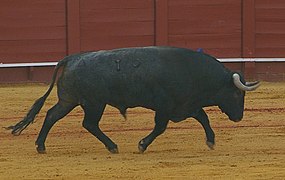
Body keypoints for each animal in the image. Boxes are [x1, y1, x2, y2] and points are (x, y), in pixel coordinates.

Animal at [7, 46, 260, 153]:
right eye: (238, 93)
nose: (239, 117)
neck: (193, 72)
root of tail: (72, 58)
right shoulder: (166, 108)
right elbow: (160, 128)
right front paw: (142, 145)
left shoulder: (185, 106)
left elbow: (203, 118)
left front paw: (211, 141)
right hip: (94, 103)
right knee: (88, 123)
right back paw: (112, 146)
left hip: (69, 100)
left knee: (52, 116)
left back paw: (41, 146)